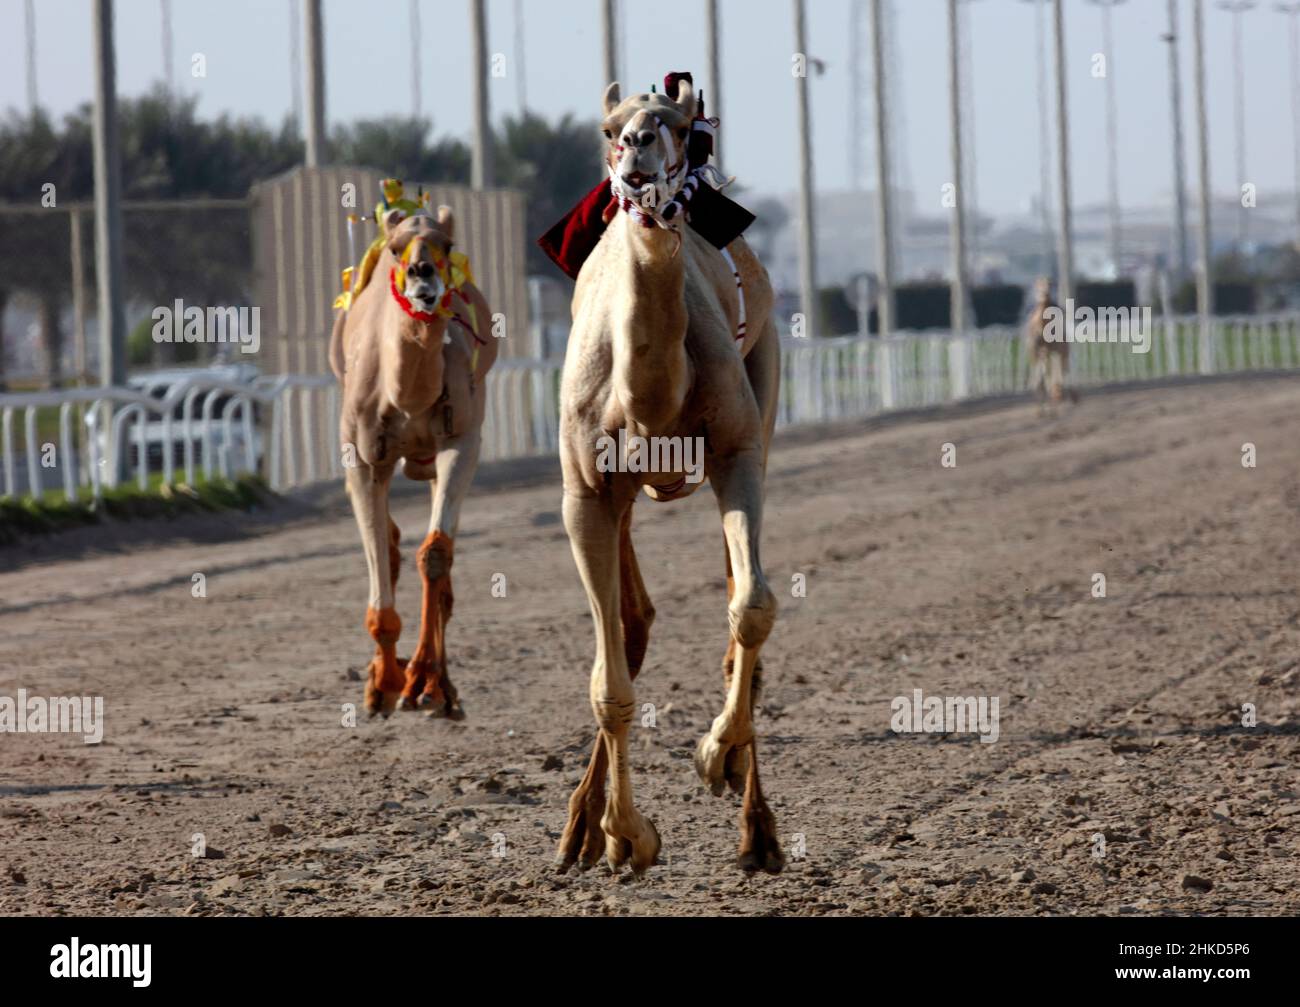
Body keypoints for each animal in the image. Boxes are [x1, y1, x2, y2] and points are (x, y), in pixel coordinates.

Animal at [329, 202, 498, 719]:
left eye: (446, 245)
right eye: (397, 248)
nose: (423, 273)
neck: (404, 395)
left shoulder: (461, 440)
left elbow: (435, 553)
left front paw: (425, 685)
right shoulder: (363, 459)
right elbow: (380, 549)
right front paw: (383, 684)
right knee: (388, 542)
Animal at [554, 80, 783, 876]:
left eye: (681, 126)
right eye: (608, 128)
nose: (637, 153)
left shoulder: (737, 453)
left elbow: (753, 606)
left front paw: (715, 754)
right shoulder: (587, 493)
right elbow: (608, 684)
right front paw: (628, 835)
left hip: (764, 393)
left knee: (734, 602)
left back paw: (756, 824)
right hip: (619, 497)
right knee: (630, 624)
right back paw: (580, 831)